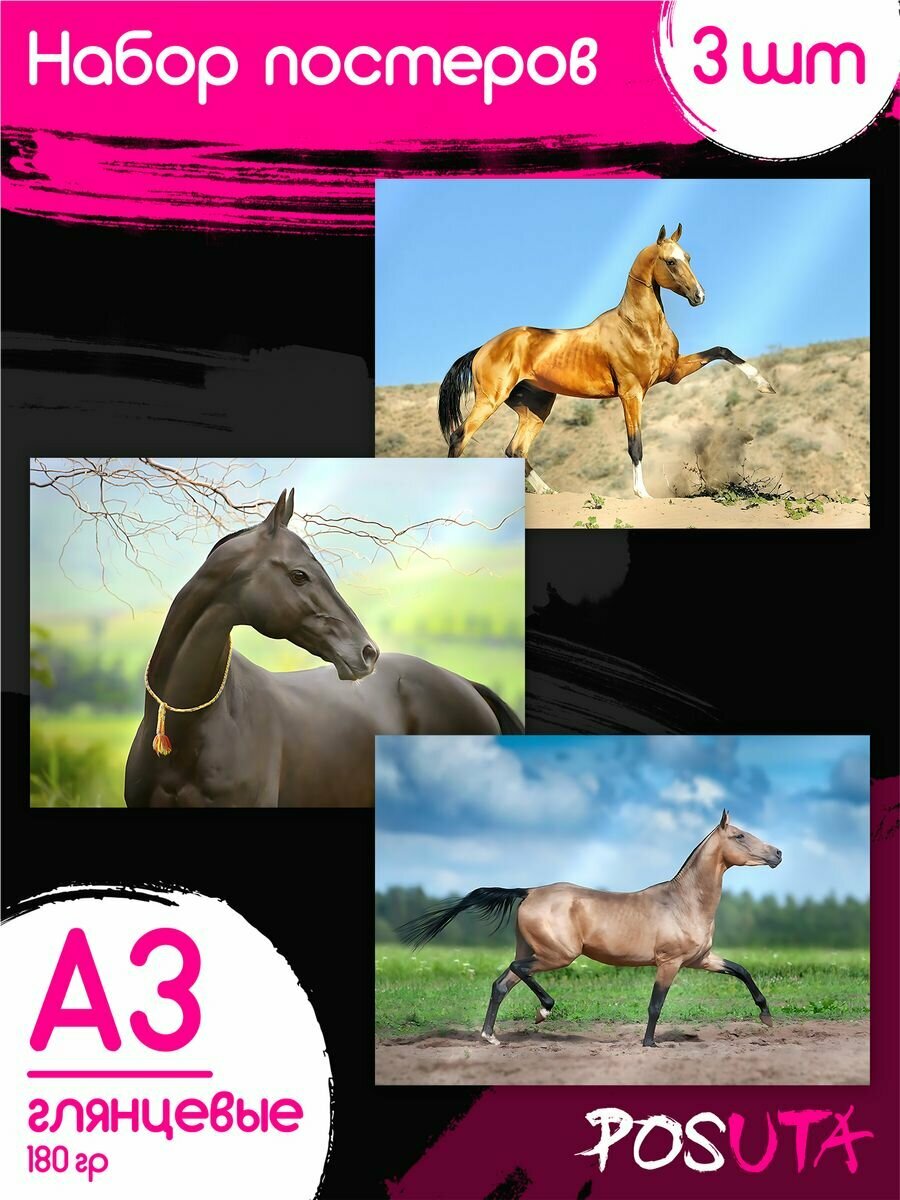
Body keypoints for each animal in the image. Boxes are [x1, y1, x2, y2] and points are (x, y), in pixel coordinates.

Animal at [399, 809, 782, 1046]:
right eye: (740, 835)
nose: (777, 853)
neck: (683, 903)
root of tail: (528, 891)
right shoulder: (669, 963)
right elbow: (655, 1005)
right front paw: (649, 1043)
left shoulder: (701, 960)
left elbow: (742, 971)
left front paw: (766, 1016)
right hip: (557, 954)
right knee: (518, 970)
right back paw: (543, 1011)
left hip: (534, 949)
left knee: (501, 983)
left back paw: (490, 1036)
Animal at [438, 223, 776, 498]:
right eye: (670, 261)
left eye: (688, 257)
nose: (699, 296)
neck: (637, 327)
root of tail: (482, 348)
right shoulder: (631, 393)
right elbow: (635, 444)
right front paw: (642, 494)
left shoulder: (674, 372)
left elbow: (722, 351)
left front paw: (764, 385)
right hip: (490, 399)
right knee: (460, 436)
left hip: (536, 408)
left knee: (515, 450)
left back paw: (549, 491)